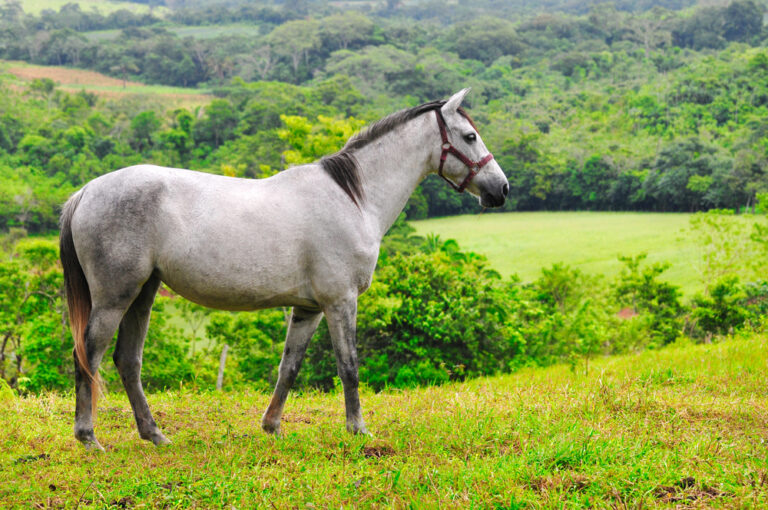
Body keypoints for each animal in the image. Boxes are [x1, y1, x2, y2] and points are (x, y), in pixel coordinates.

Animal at [59, 88, 509, 450]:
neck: (354, 198)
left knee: (127, 361)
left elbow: (289, 367)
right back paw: (89, 437)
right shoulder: (340, 301)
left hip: (144, 293)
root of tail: (86, 191)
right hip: (115, 297)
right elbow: (349, 367)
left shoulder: (308, 308)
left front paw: (272, 426)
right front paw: (358, 429)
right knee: (90, 354)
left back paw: (154, 434)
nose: (501, 189)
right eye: (470, 136)